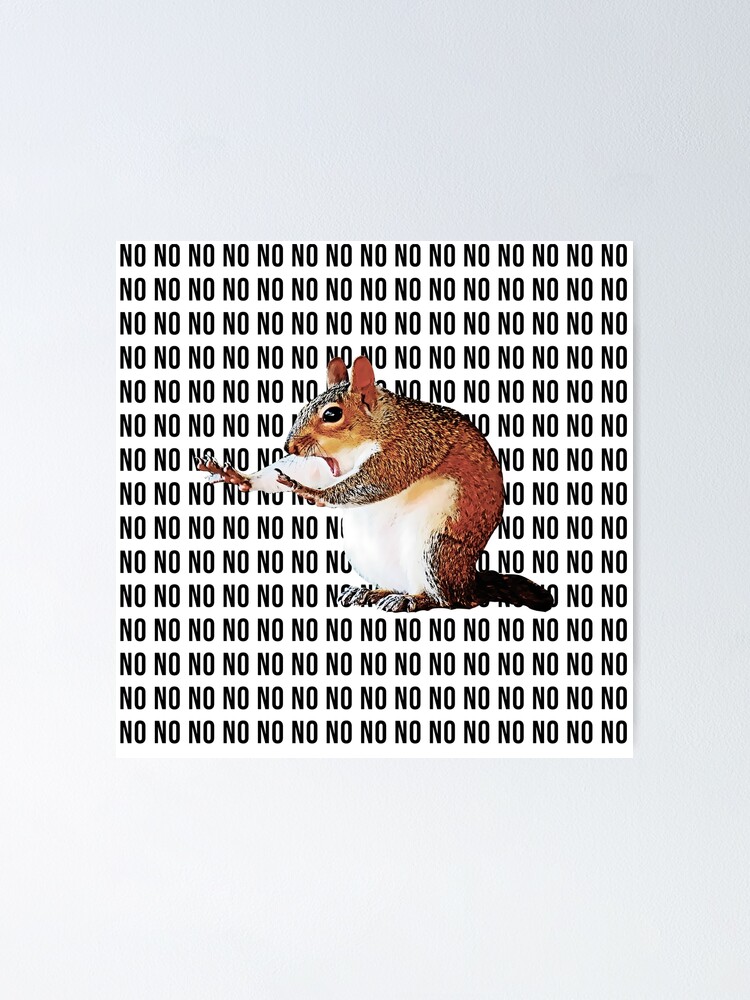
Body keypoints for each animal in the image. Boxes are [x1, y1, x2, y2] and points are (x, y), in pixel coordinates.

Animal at [262, 355, 554, 614]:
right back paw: (370, 592)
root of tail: (468, 584)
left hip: (435, 551)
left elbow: (374, 483)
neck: (383, 423)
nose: (289, 447)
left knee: (450, 601)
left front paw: (309, 490)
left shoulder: (409, 448)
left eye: (332, 414)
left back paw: (414, 600)